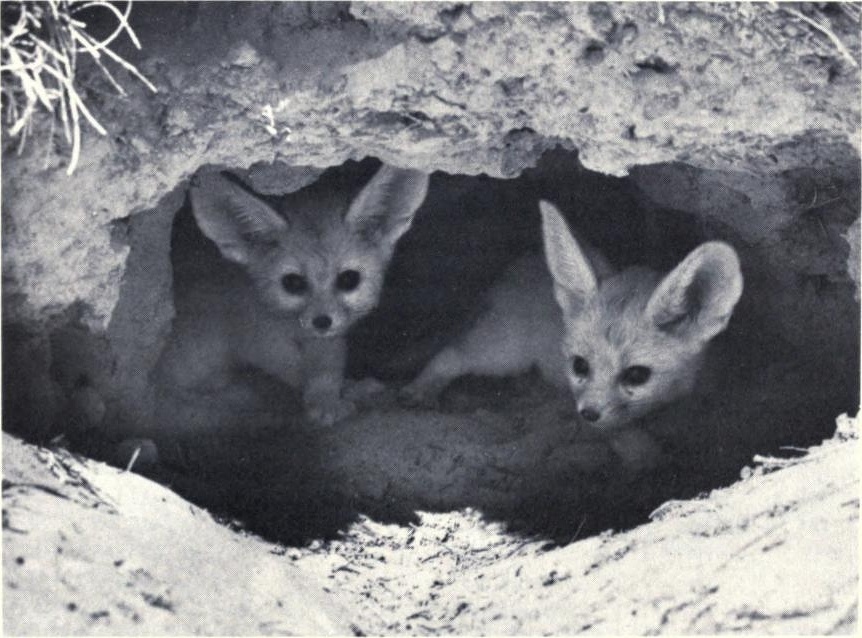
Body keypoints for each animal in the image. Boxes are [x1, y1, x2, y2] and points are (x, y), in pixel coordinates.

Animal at [157, 163, 429, 426]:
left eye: (349, 280)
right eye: (293, 283)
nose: (322, 321)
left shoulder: (324, 339)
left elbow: (327, 364)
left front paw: (337, 391)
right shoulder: (258, 339)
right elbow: (299, 370)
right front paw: (327, 399)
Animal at [402, 200, 743, 465]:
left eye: (636, 375)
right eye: (580, 366)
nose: (587, 414)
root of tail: (519, 266)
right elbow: (627, 438)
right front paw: (643, 456)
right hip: (503, 355)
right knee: (451, 355)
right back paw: (422, 389)